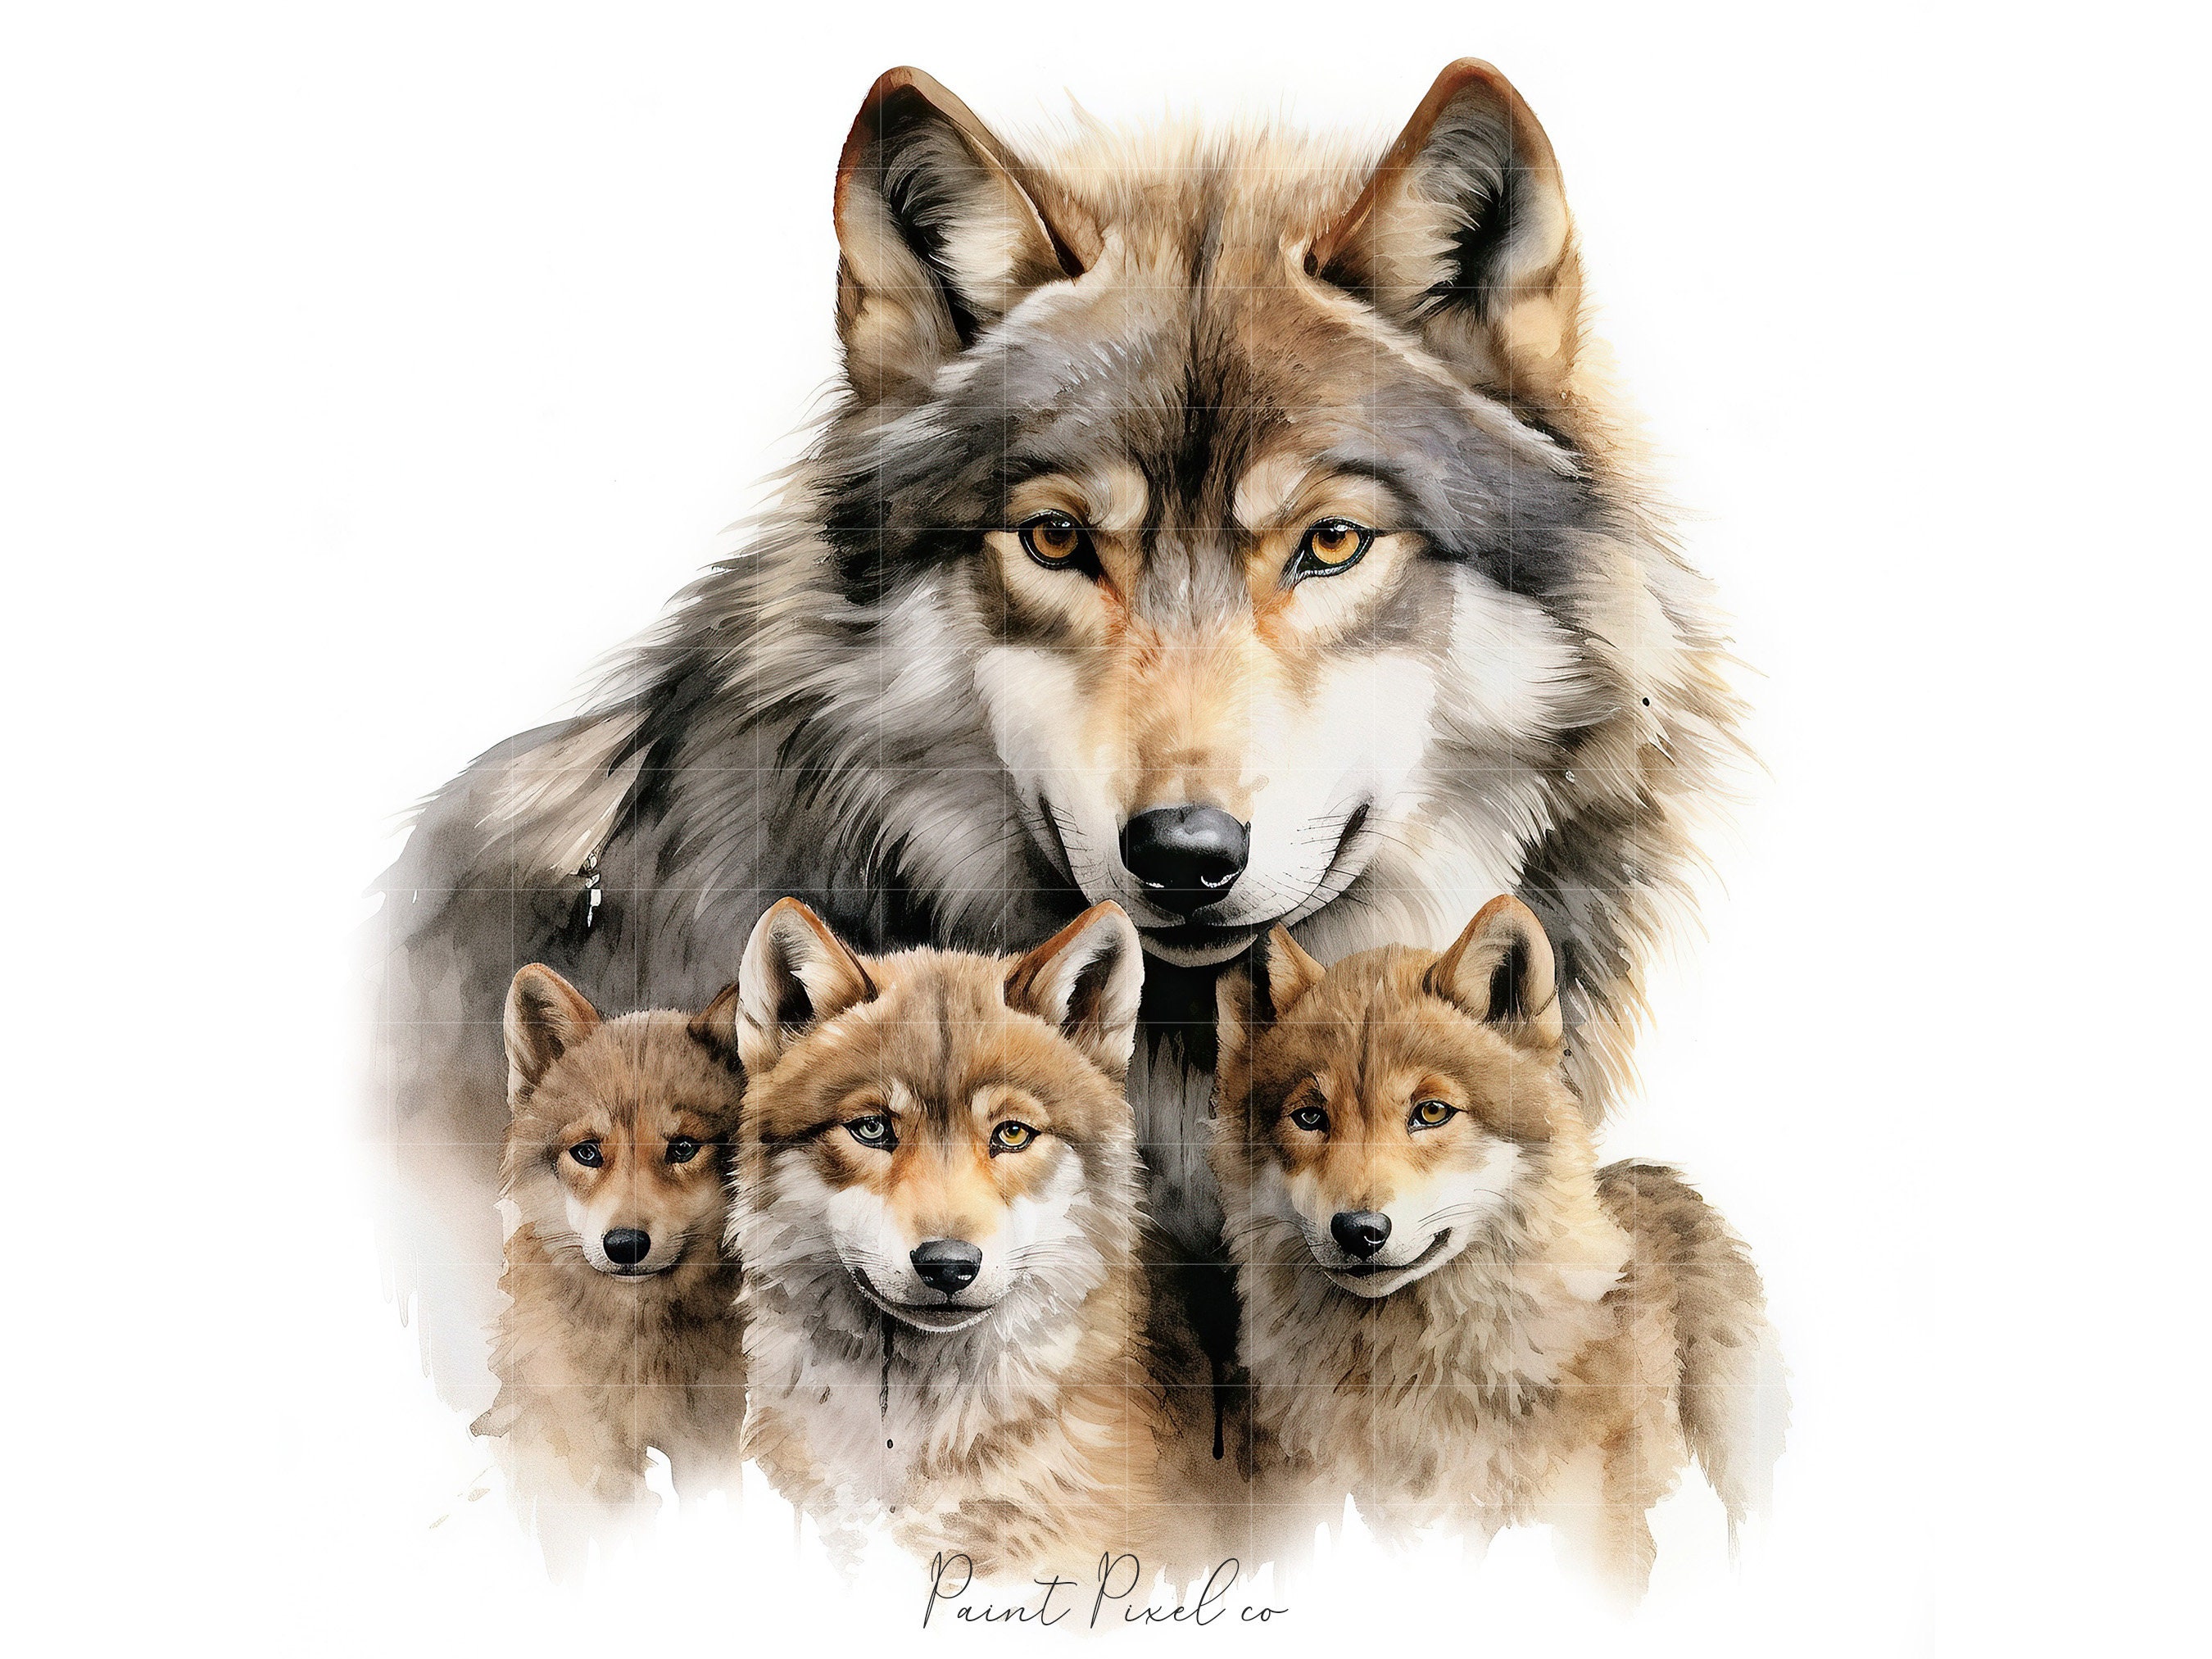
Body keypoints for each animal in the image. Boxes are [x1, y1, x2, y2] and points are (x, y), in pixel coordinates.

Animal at [1211, 897, 1784, 1595]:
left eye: (1431, 1112)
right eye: (1310, 1117)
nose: (1359, 1230)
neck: (1411, 1376)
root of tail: (1662, 1176)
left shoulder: (1597, 1546)